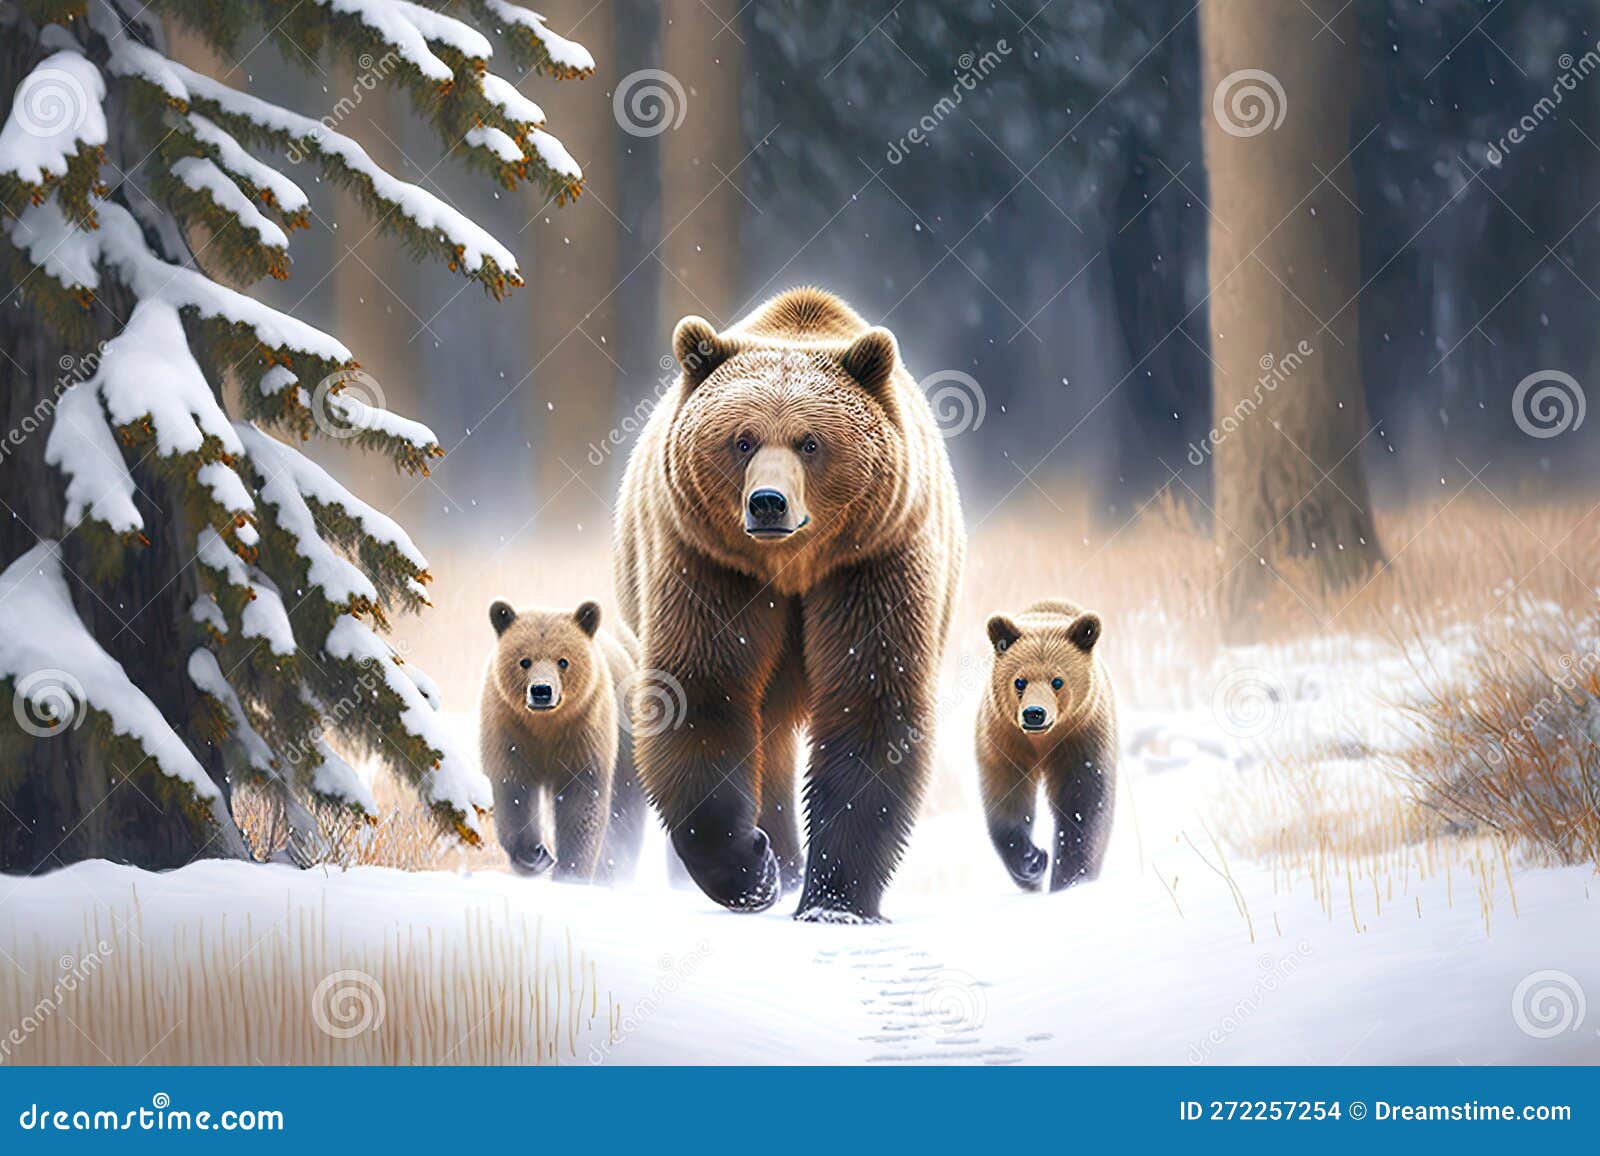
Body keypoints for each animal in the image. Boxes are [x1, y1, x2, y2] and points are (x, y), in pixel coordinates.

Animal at [480, 599, 648, 881]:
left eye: (563, 660)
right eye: (524, 661)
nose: (541, 690)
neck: (546, 724)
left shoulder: (584, 730)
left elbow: (581, 800)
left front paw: (570, 872)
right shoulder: (508, 726)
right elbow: (514, 790)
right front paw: (535, 855)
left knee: (625, 812)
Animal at [613, 286, 965, 923]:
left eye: (810, 442)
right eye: (742, 439)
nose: (768, 502)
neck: (793, 565)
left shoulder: (873, 563)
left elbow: (870, 703)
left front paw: (836, 899)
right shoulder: (709, 563)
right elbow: (701, 690)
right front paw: (750, 868)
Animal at [977, 598, 1117, 892]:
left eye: (1057, 681)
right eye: (1019, 681)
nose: (1034, 713)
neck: (1041, 741)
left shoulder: (1081, 737)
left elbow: (1083, 804)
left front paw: (1069, 879)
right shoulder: (1003, 739)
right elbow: (1007, 798)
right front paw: (1031, 861)